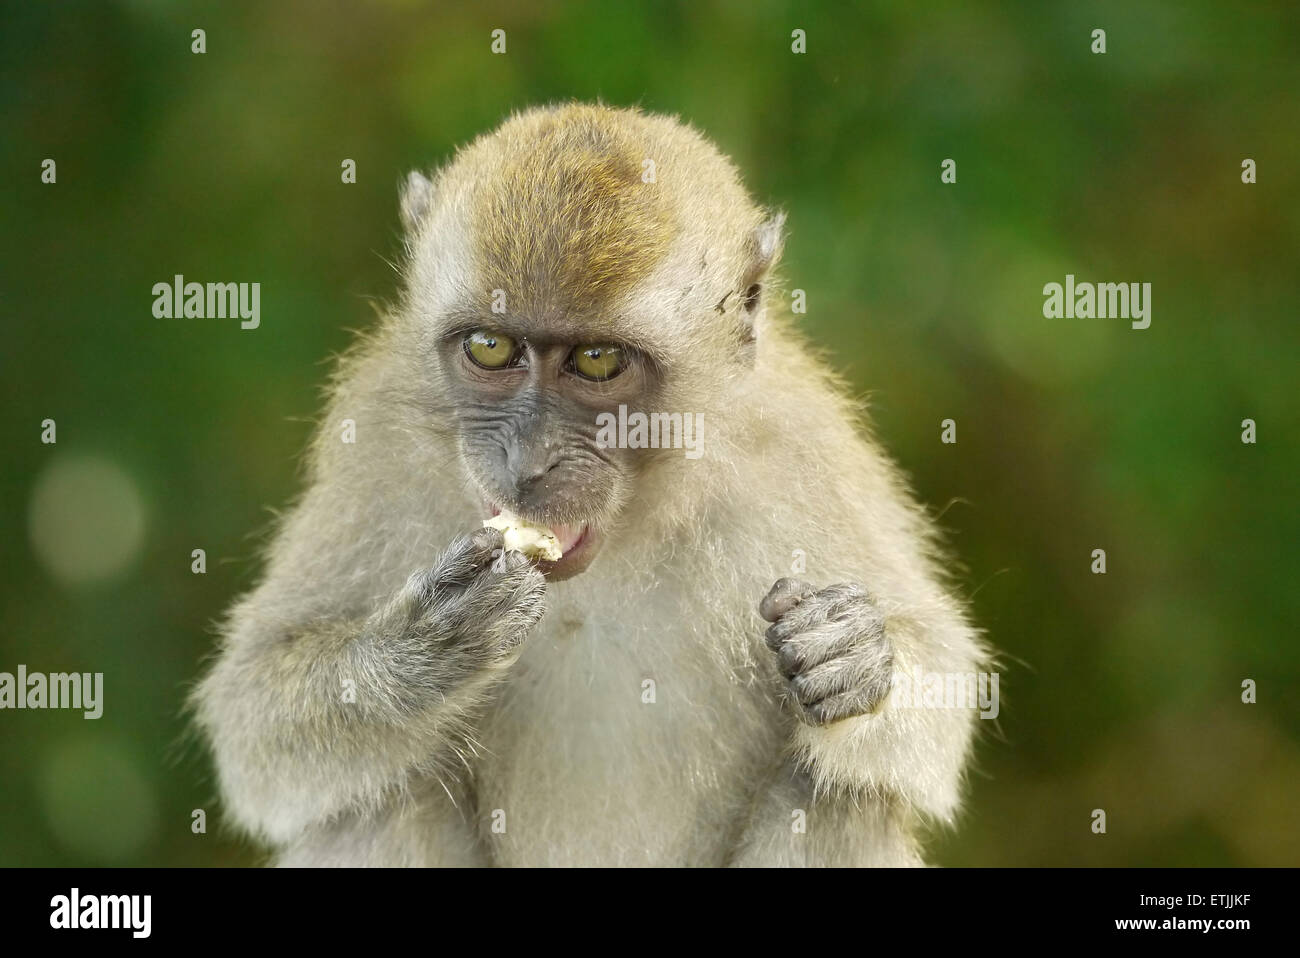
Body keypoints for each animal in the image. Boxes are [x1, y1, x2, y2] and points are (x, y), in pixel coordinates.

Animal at [191, 102, 989, 867]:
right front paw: (421, 650)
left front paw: (852, 653)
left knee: (838, 795)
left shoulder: (803, 452)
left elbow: (944, 697)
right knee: (380, 795)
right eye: (491, 347)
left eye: (599, 361)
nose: (528, 461)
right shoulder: (379, 438)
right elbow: (252, 705)